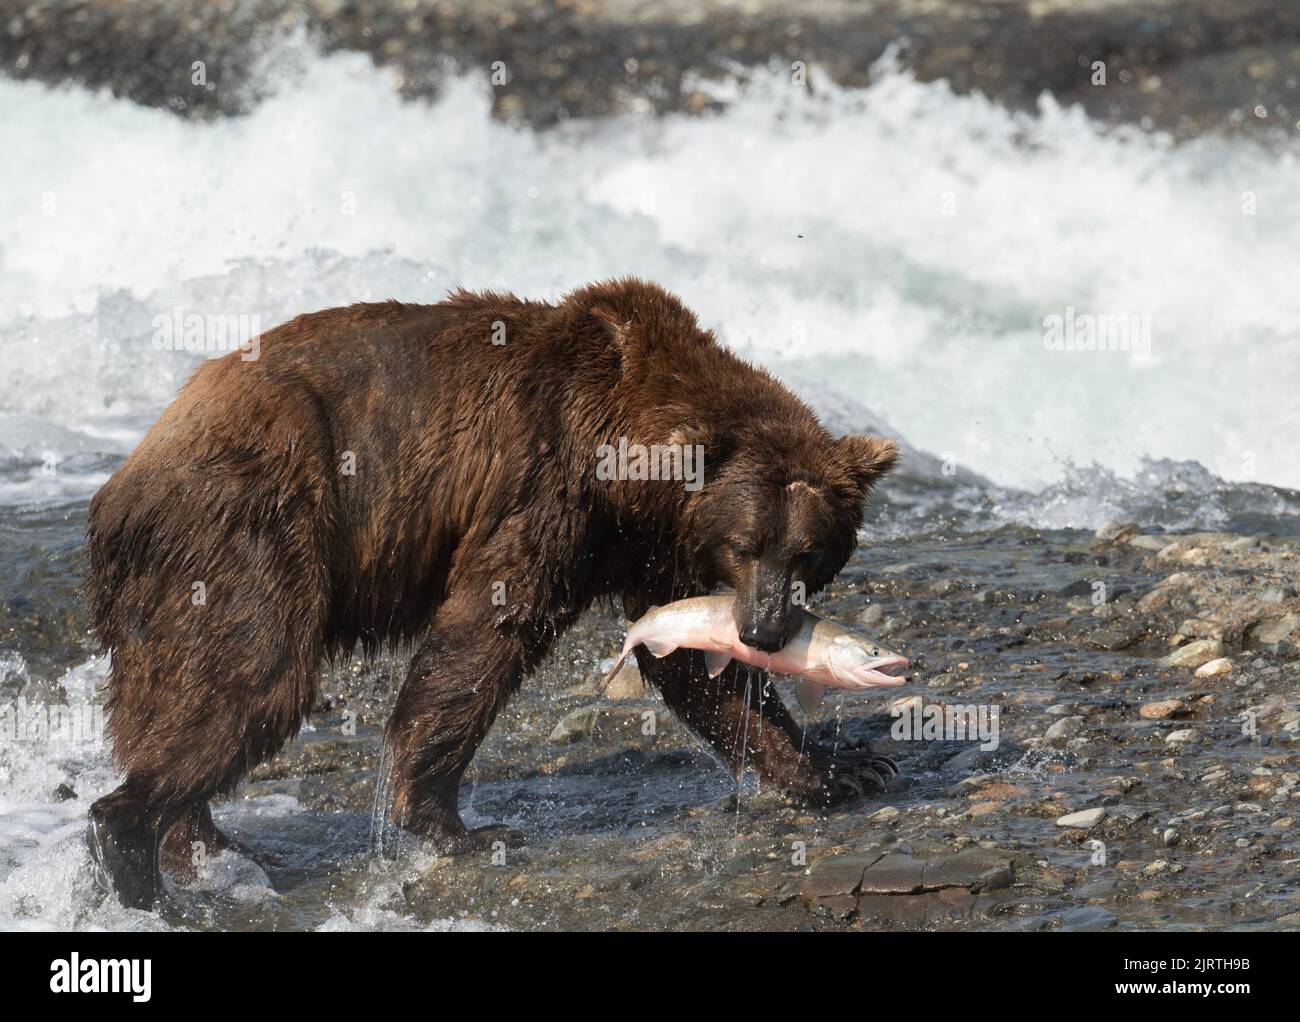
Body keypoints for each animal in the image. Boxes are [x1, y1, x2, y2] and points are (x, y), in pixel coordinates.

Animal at [84, 278, 899, 908]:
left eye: (808, 552)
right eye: (747, 544)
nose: (764, 630)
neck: (630, 469)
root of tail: (126, 477)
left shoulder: (654, 546)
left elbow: (692, 667)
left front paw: (841, 768)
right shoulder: (542, 483)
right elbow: (487, 628)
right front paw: (455, 825)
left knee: (175, 697)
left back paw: (207, 846)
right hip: (248, 524)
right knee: (256, 678)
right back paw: (133, 850)